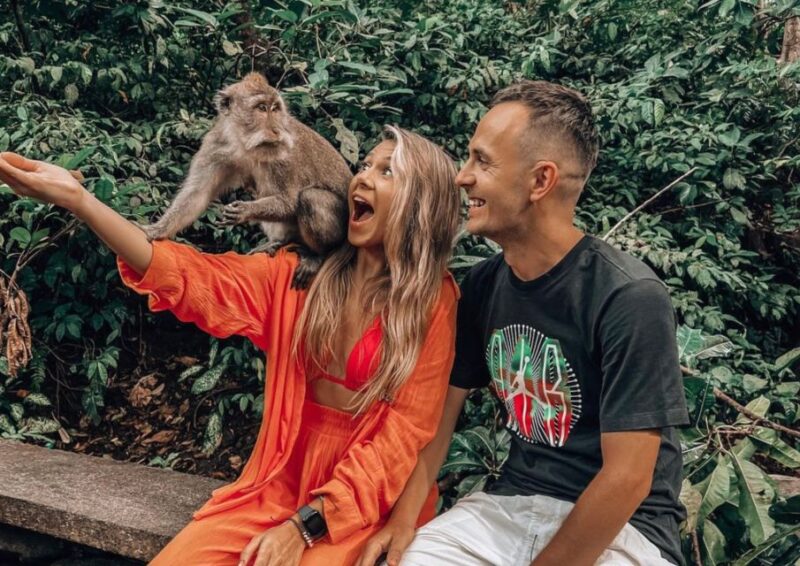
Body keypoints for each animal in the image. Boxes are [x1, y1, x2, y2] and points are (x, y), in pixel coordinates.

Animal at [140, 72, 352, 289]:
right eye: (261, 108)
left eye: (275, 108)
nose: (276, 130)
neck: (245, 144)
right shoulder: (216, 147)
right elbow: (197, 195)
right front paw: (156, 230)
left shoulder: (283, 154)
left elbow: (289, 201)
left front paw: (245, 210)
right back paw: (280, 241)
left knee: (311, 197)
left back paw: (318, 254)